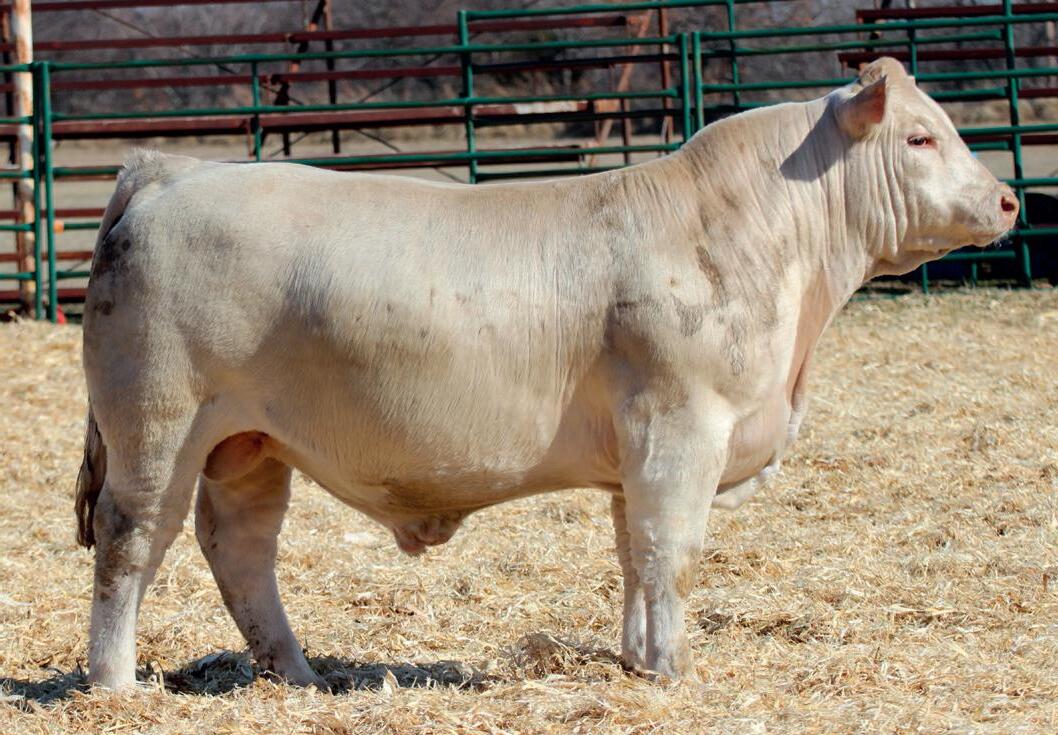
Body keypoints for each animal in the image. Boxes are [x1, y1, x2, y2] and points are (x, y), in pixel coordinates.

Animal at [74, 58, 1018, 689]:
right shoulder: (682, 430)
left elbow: (633, 552)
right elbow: (672, 552)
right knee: (132, 540)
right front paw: (676, 670)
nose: (1008, 199)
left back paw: (300, 676)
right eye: (921, 136)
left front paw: (638, 660)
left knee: (240, 546)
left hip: (248, 443)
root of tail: (172, 170)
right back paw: (116, 683)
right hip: (157, 424)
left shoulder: (635, 457)